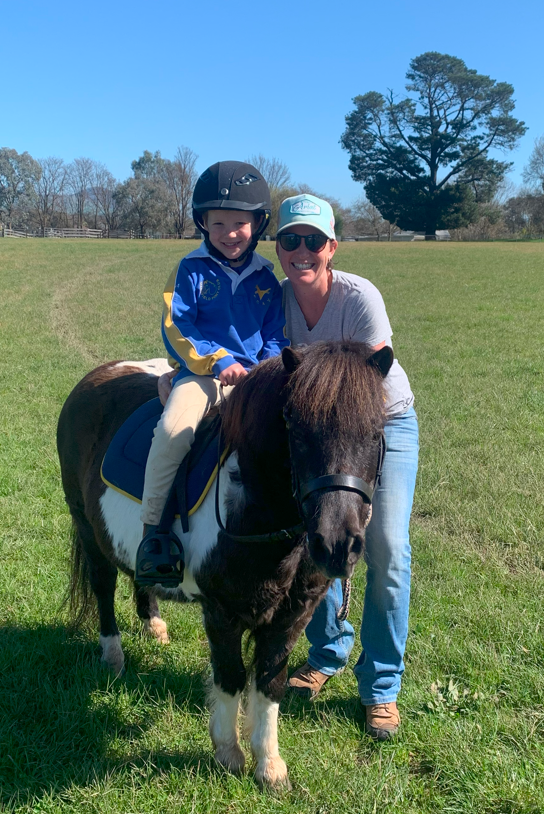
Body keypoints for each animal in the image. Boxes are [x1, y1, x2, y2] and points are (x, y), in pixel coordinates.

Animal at [57, 341, 393, 789]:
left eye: (375, 431)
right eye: (295, 427)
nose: (337, 544)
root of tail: (97, 376)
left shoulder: (292, 616)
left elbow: (270, 682)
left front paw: (269, 765)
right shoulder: (222, 612)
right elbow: (231, 676)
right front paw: (229, 753)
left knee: (139, 576)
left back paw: (153, 624)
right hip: (86, 528)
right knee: (103, 587)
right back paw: (113, 656)